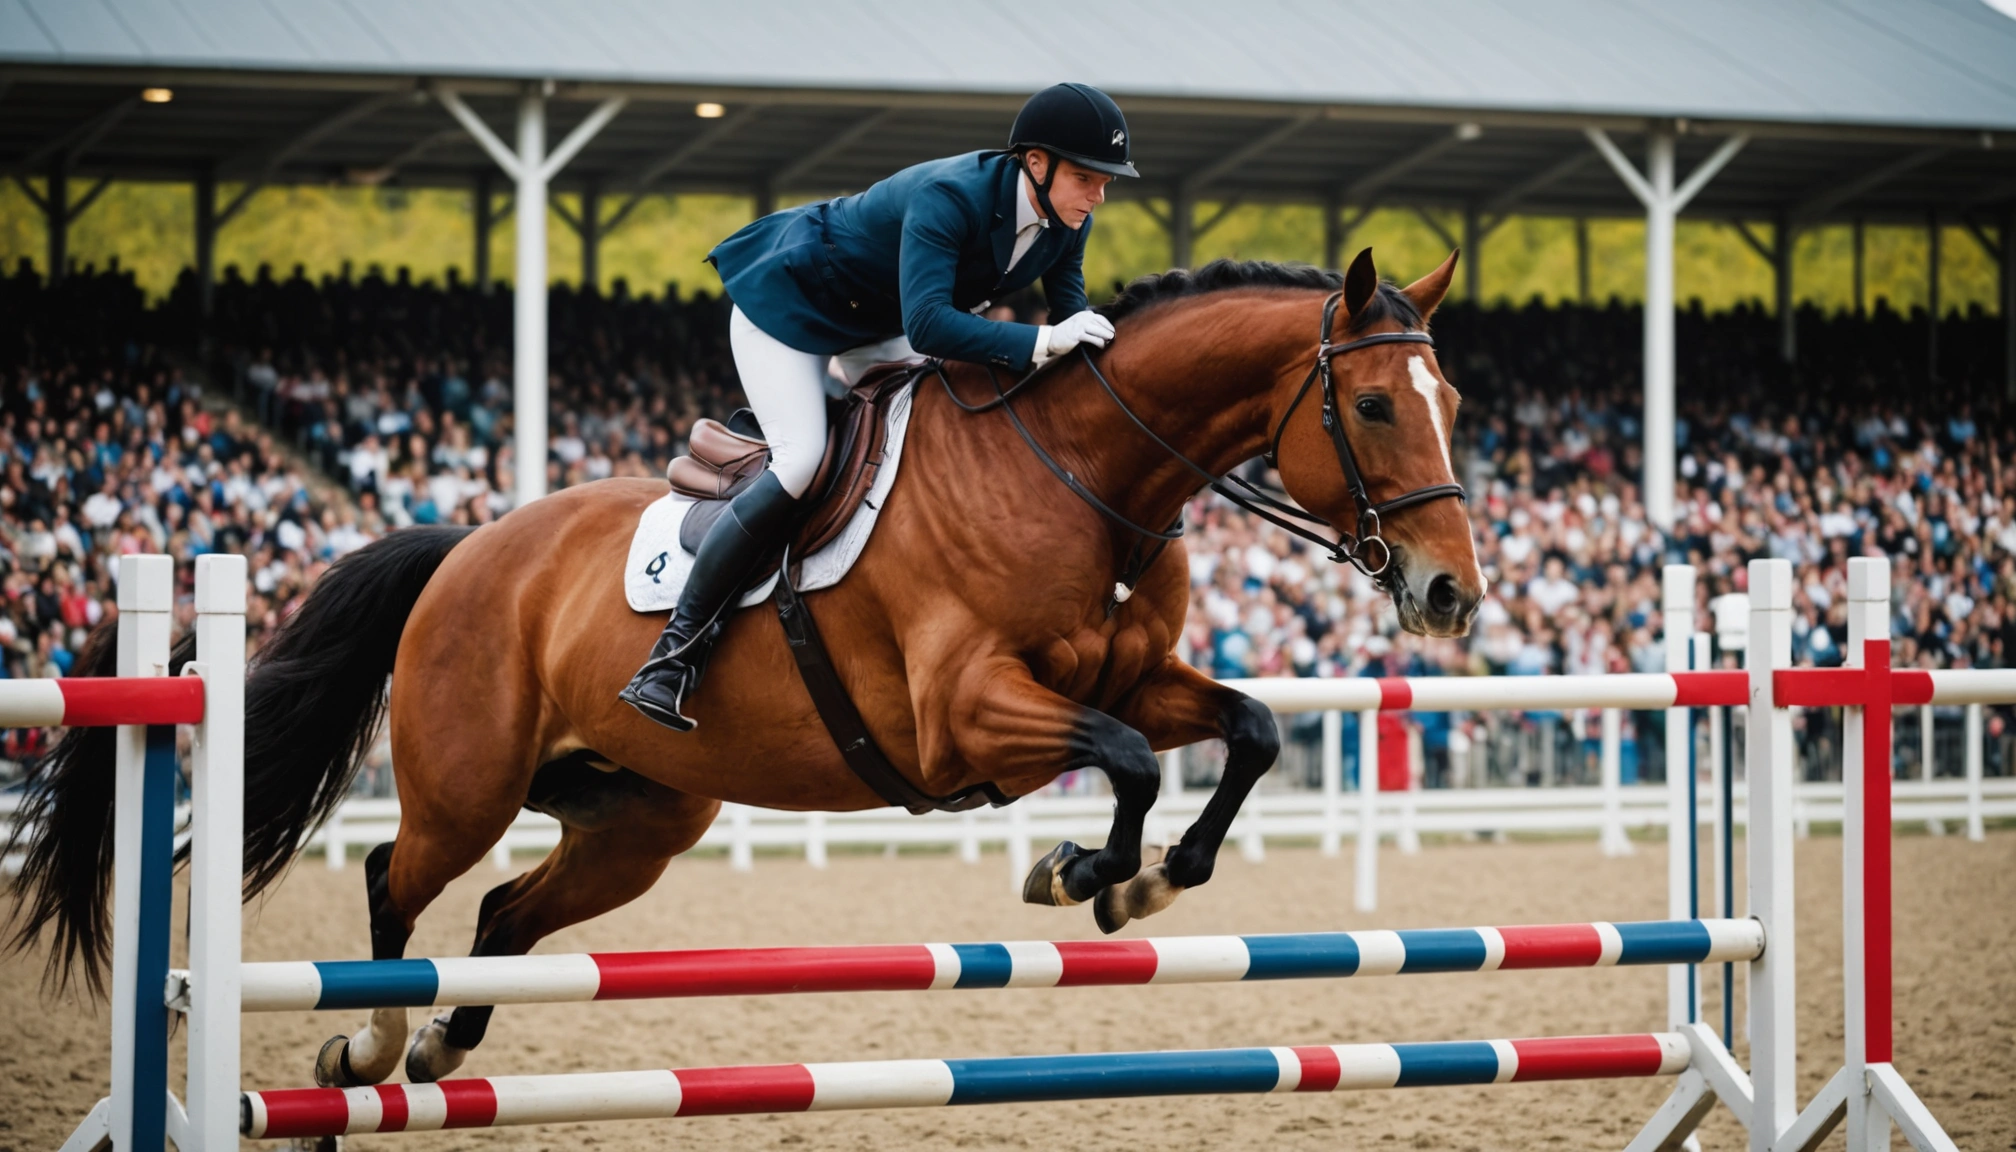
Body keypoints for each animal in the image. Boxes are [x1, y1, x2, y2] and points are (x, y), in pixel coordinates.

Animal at [8, 248, 1482, 1092]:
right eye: (1369, 405)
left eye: (1456, 403)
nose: (1452, 593)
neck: (1085, 475)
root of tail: (468, 546)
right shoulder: (964, 716)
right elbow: (1121, 763)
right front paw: (1085, 873)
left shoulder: (1131, 677)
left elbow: (1247, 733)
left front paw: (1152, 881)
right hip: (467, 783)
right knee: (393, 879)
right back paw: (370, 1044)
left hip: (639, 820)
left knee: (504, 916)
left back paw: (445, 1044)